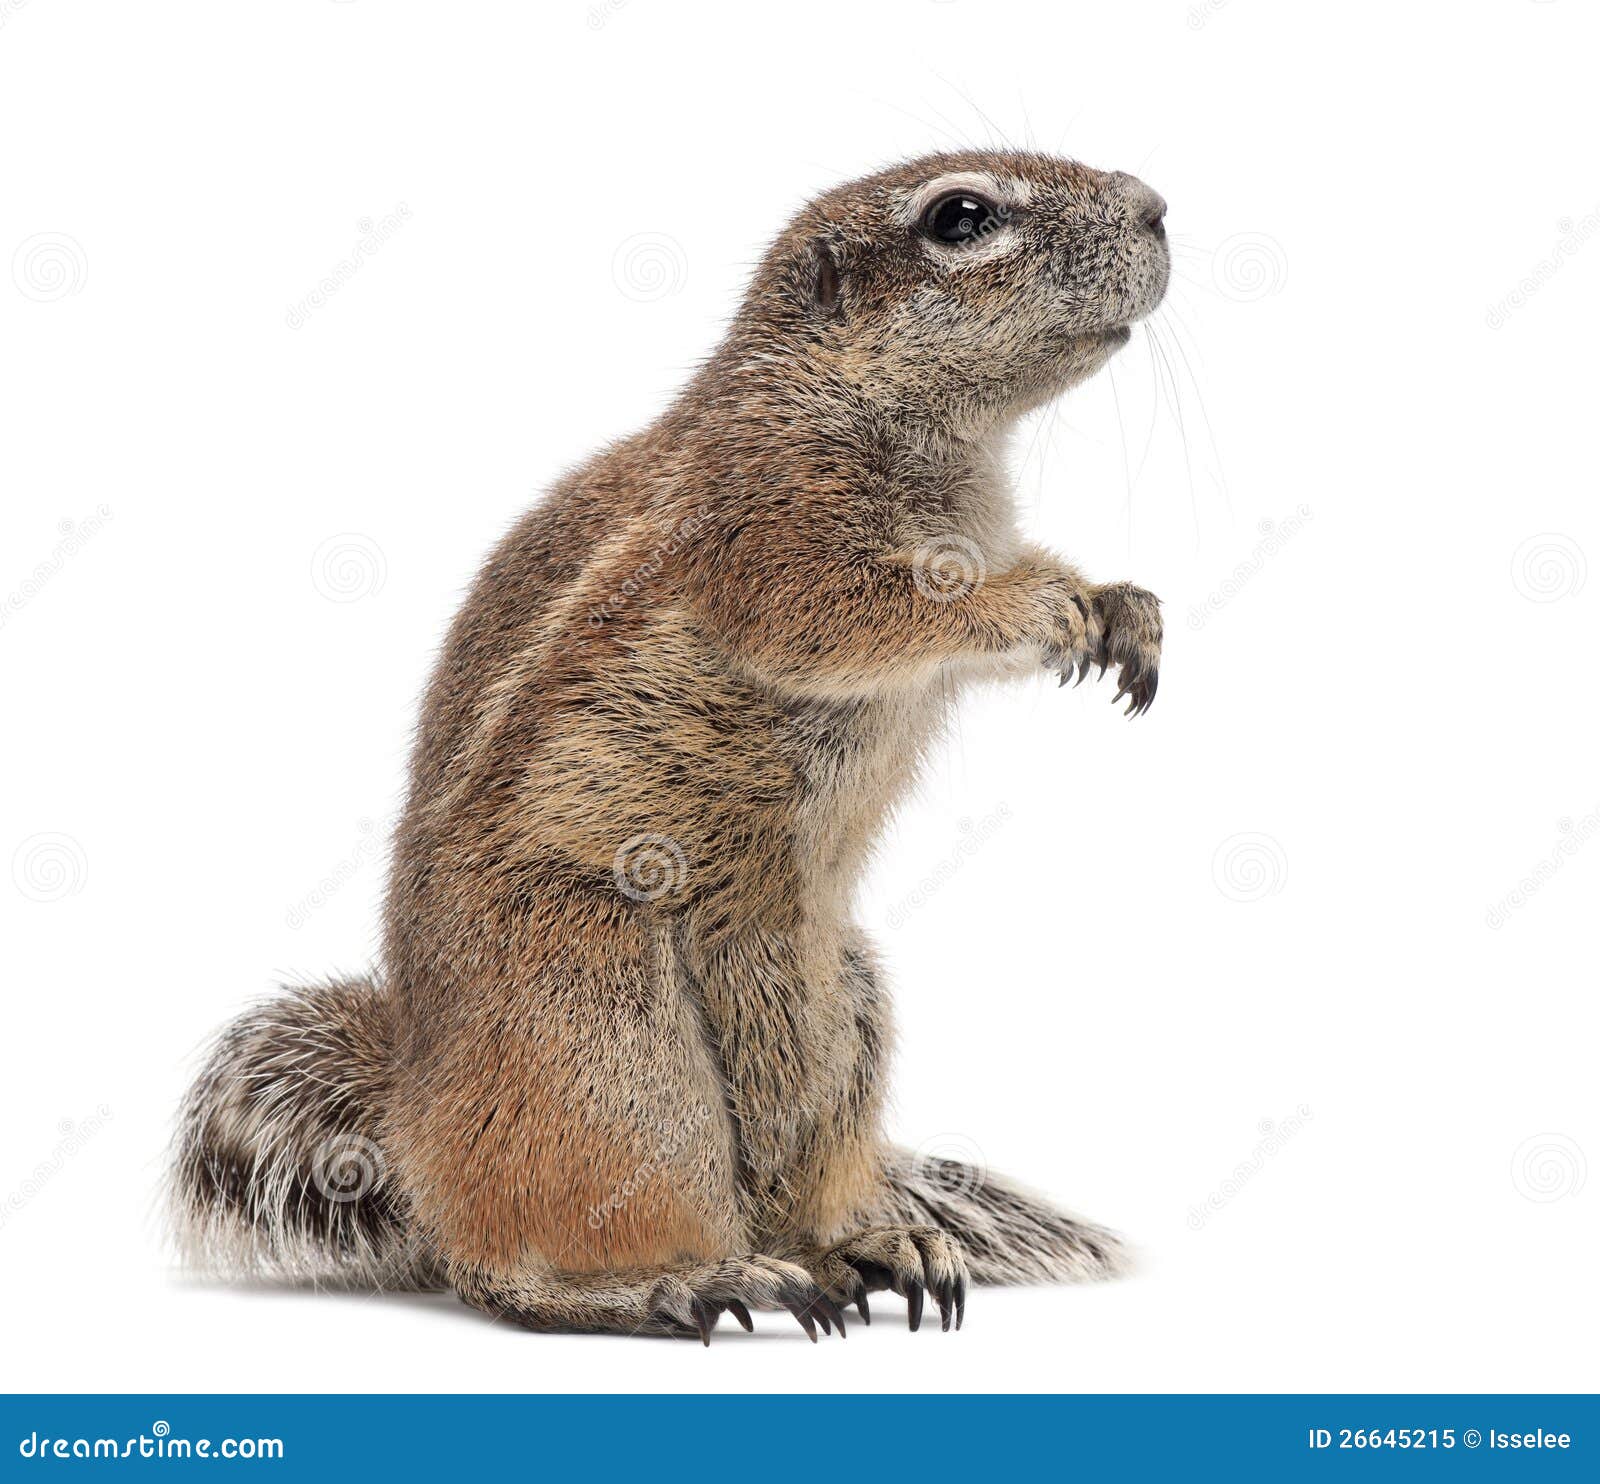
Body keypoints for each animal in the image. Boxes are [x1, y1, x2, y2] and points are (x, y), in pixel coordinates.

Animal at [171, 150, 1170, 1341]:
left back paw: (870, 1246)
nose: (1158, 209)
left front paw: (1120, 607)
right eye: (961, 217)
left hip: (847, 996)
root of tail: (413, 1116)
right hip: (604, 1032)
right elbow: (852, 611)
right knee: (506, 1264)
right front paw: (1044, 599)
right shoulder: (765, 525)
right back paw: (682, 1281)